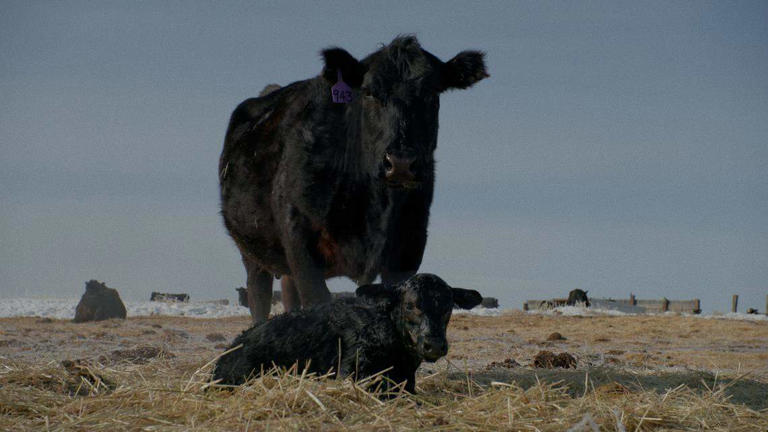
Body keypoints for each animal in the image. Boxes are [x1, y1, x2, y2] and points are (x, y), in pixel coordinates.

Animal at [219, 35, 488, 321]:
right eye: (368, 92)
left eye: (431, 93)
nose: (401, 163)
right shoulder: (301, 242)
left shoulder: (409, 245)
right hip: (251, 250)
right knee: (259, 295)